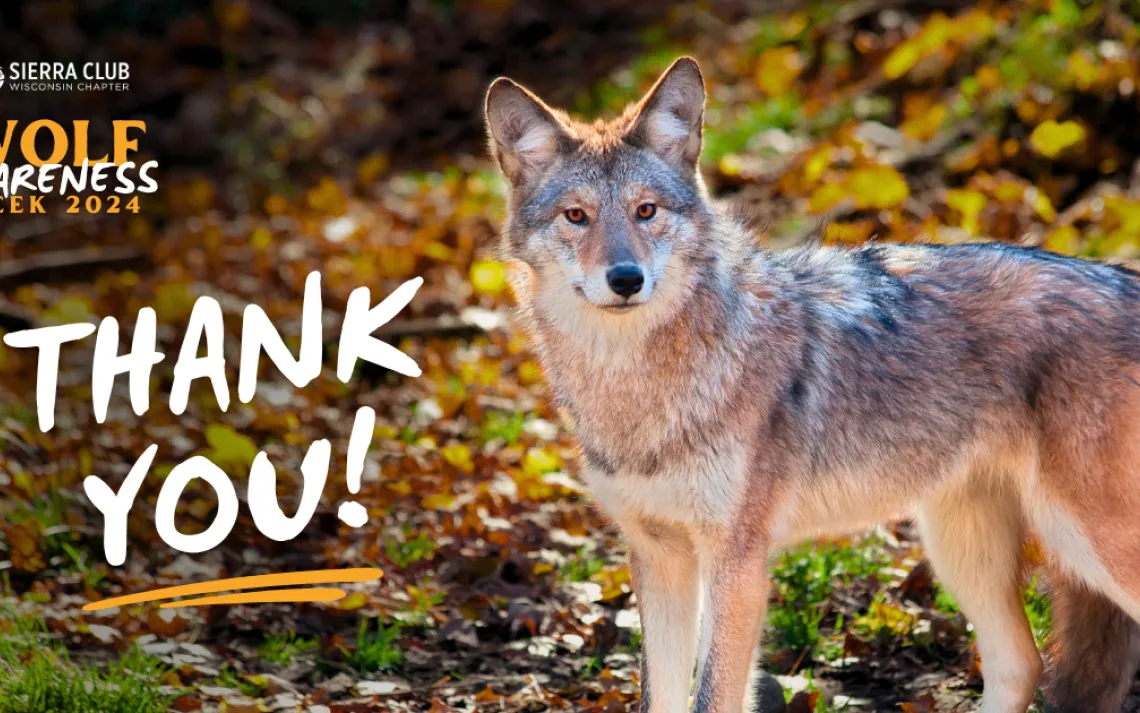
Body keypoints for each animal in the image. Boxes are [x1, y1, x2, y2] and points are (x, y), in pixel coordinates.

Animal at [484, 57, 1140, 713]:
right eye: (576, 216)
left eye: (646, 211)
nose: (626, 279)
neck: (638, 386)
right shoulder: (658, 556)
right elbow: (660, 697)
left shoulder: (737, 562)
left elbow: (713, 694)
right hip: (960, 546)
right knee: (1020, 664)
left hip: (1082, 543)